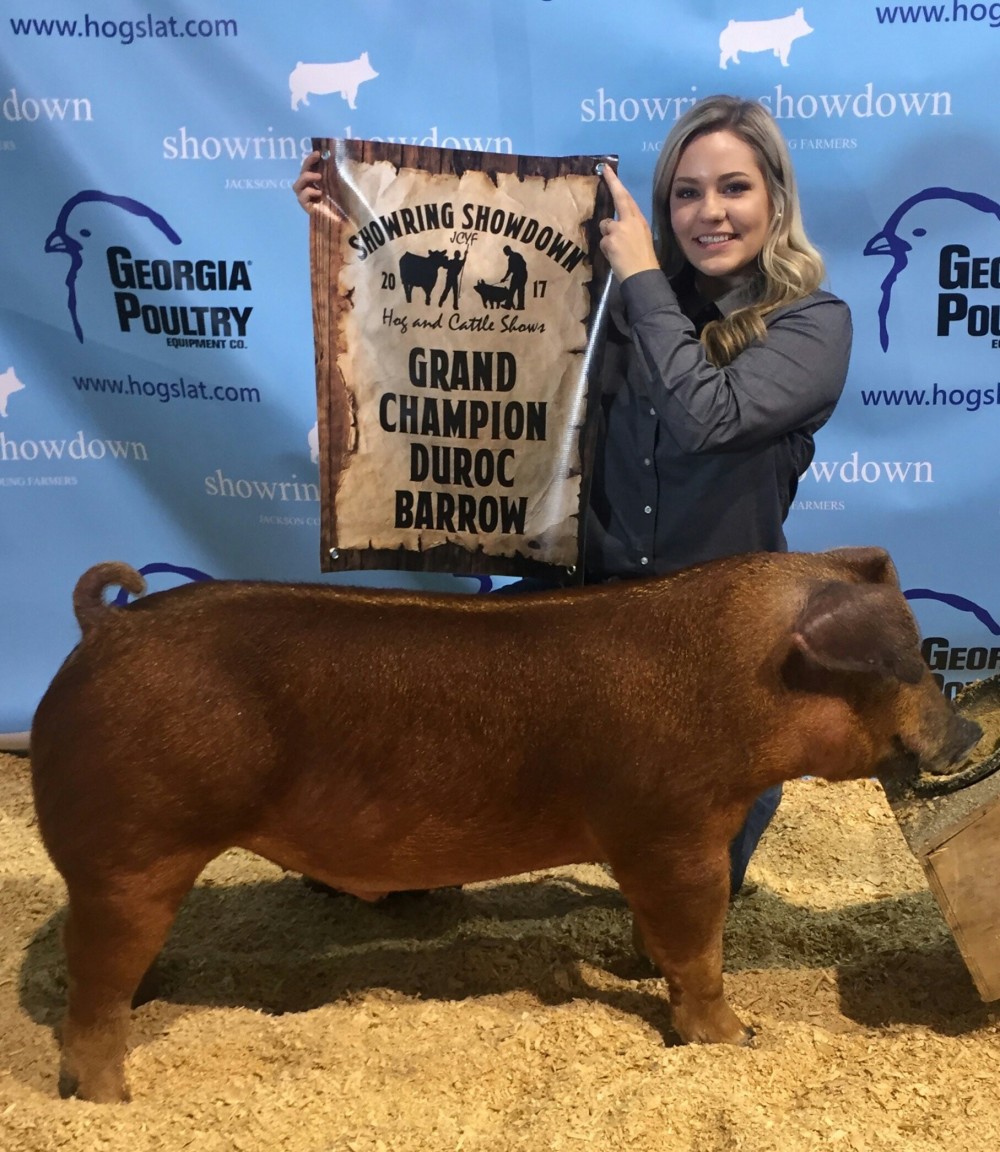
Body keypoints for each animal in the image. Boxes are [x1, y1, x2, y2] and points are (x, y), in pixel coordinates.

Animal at [30, 546, 980, 1102]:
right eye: (907, 659)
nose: (970, 732)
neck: (732, 682)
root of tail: (102, 626)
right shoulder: (670, 831)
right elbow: (697, 942)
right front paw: (738, 1039)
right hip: (130, 848)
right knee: (94, 987)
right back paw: (112, 1098)